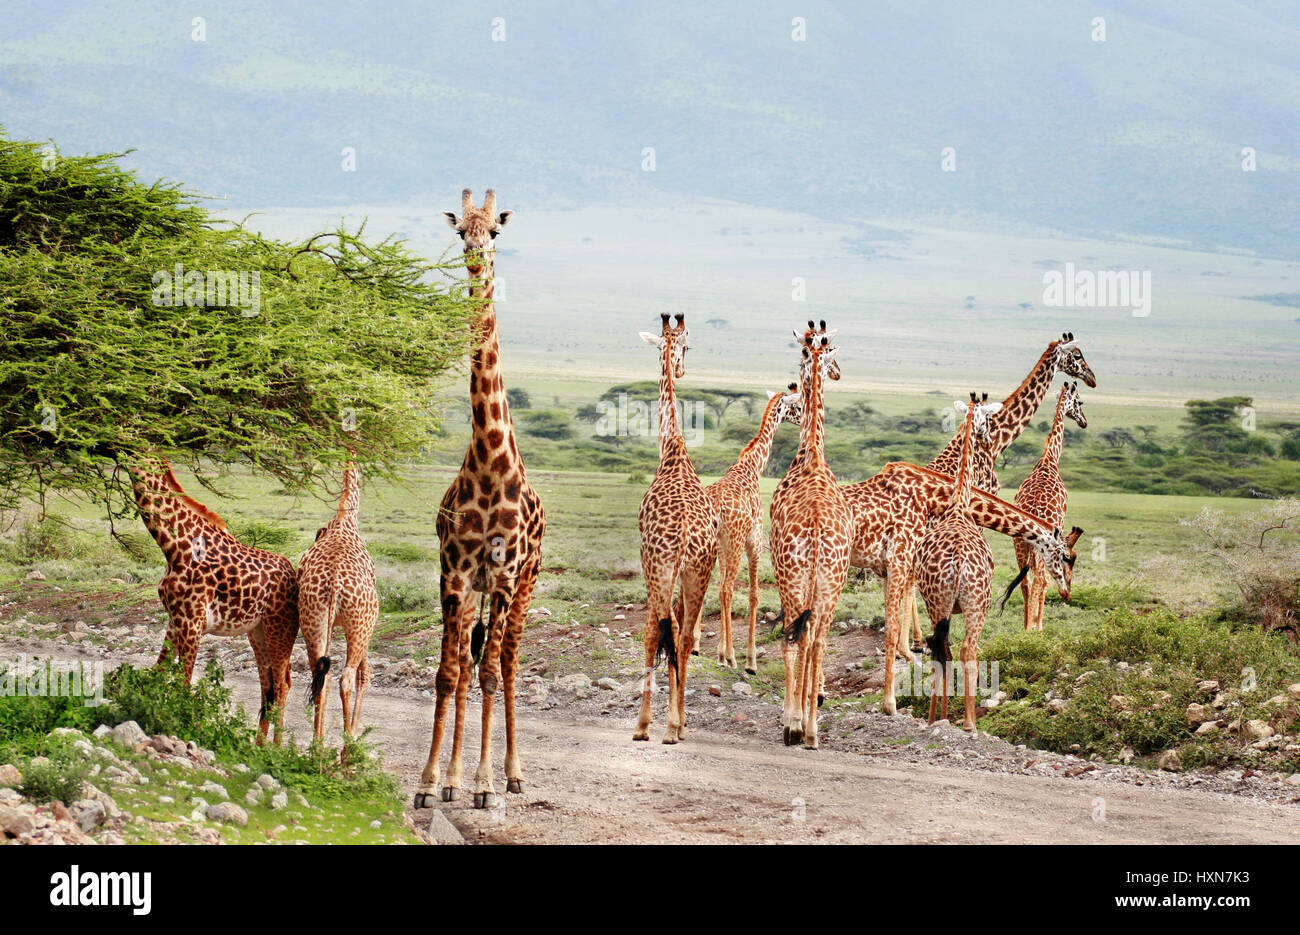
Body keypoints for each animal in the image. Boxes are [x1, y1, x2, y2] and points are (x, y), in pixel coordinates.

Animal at [128, 462, 297, 745]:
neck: (173, 547)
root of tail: (294, 575)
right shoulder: (175, 619)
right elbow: (158, 672)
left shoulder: (192, 622)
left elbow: (183, 682)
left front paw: (180, 729)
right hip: (258, 631)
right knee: (269, 684)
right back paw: (258, 746)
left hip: (279, 630)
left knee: (282, 683)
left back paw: (276, 748)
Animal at [297, 457, 379, 743]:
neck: (346, 515)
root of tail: (334, 583)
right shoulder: (365, 626)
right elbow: (366, 676)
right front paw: (353, 733)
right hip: (360, 625)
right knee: (347, 678)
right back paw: (347, 746)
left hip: (313, 620)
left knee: (321, 677)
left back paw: (318, 745)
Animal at [694, 382, 801, 672]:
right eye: (797, 406)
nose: (803, 419)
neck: (752, 468)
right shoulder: (754, 540)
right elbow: (754, 594)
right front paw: (750, 660)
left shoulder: (721, 546)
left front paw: (711, 650)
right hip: (734, 541)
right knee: (727, 588)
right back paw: (730, 655)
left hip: (711, 544)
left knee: (711, 586)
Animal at [1001, 381, 1087, 630]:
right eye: (1080, 402)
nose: (1084, 421)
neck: (1049, 459)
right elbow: (1048, 579)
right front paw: (1039, 625)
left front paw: (1031, 623)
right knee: (1040, 579)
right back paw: (1034, 627)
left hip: (1019, 542)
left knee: (1025, 580)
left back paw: (1025, 626)